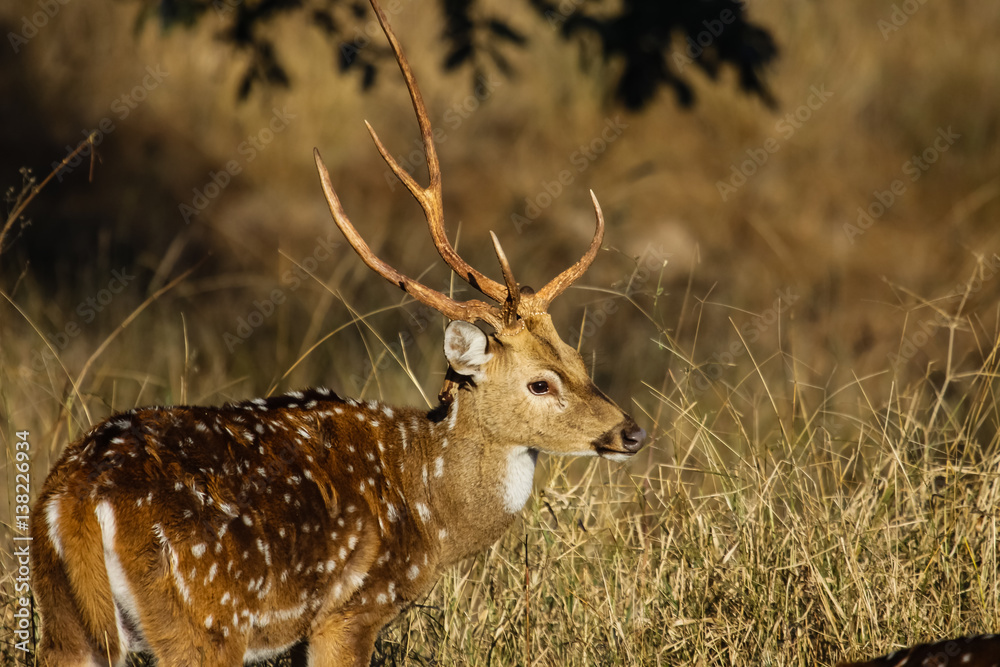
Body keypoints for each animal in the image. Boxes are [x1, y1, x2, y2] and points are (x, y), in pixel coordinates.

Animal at [29, 1, 645, 665]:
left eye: (578, 358)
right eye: (539, 383)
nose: (632, 432)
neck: (427, 508)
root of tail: (75, 501)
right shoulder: (353, 611)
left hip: (63, 619)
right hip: (204, 618)